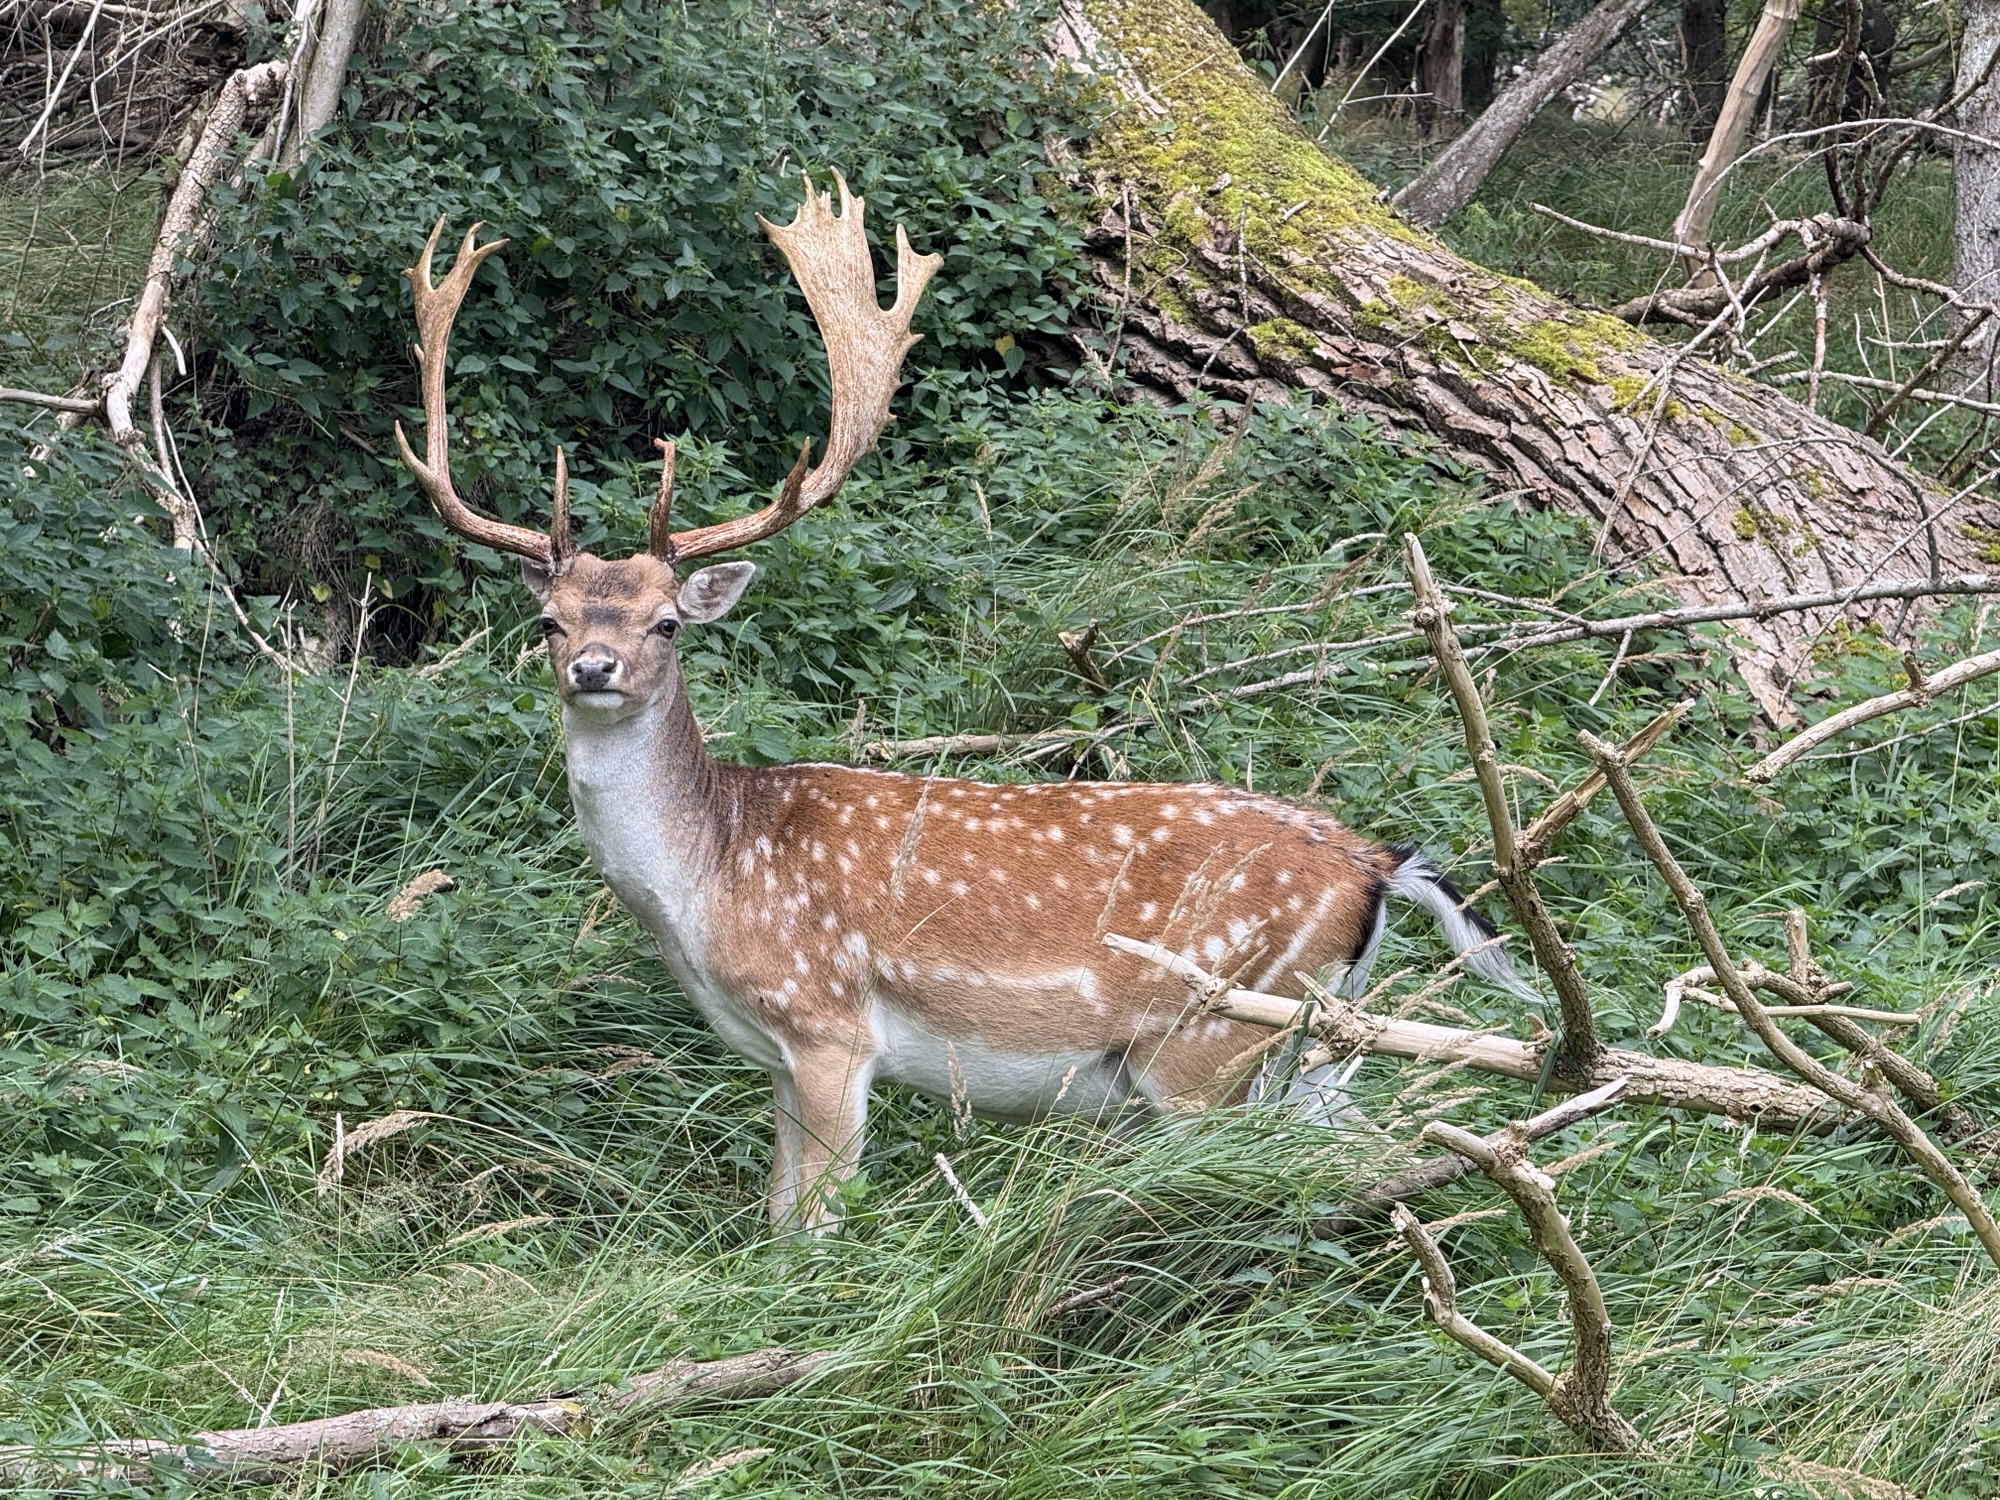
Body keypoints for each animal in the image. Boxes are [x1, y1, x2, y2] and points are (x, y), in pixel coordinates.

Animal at [391, 173, 1537, 1232]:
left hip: (1210, 1039)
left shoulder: (829, 1025)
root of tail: (1377, 864)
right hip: (1312, 1052)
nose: (594, 666)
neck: (707, 877)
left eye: (666, 622)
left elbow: (807, 1226)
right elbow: (772, 1209)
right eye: (550, 620)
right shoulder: (773, 1053)